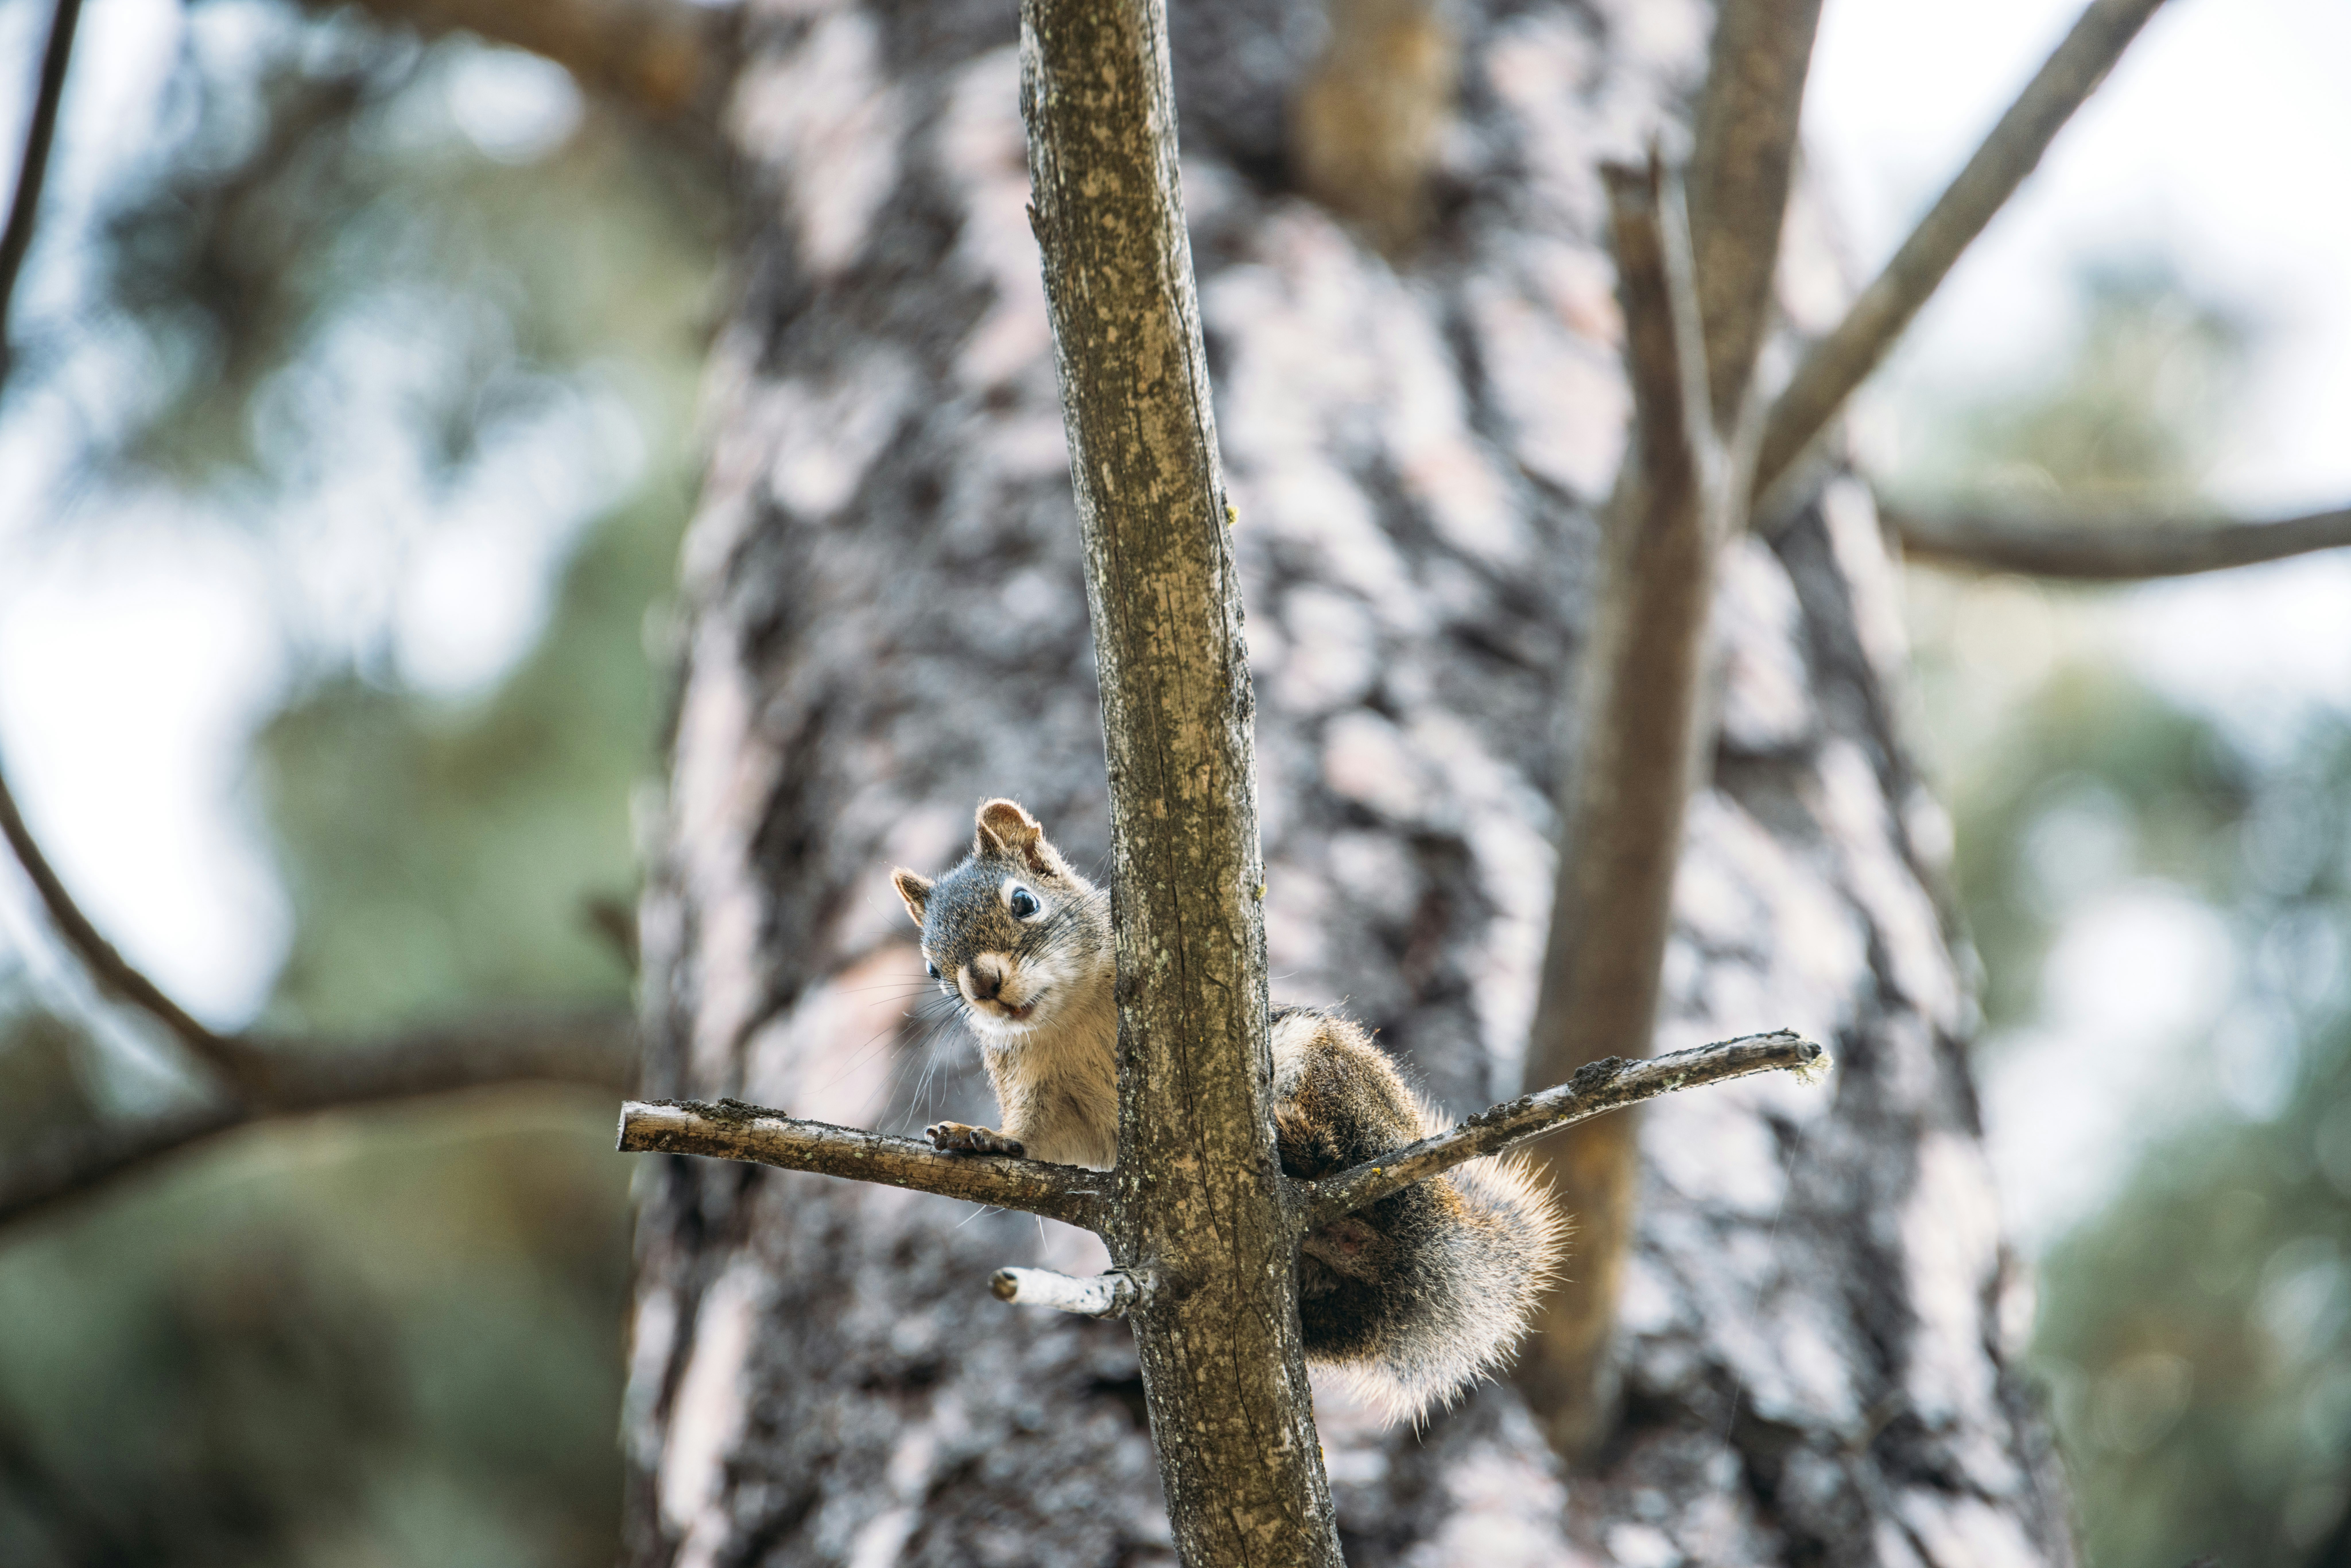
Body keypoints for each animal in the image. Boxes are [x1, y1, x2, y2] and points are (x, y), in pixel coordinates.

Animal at [890, 798, 1567, 1424]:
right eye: (932, 966)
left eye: (1024, 902)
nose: (982, 984)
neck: (1066, 1015)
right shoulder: (1039, 1090)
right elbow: (1036, 1137)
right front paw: (981, 1136)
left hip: (1334, 1068)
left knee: (1345, 1143)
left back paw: (1295, 1135)